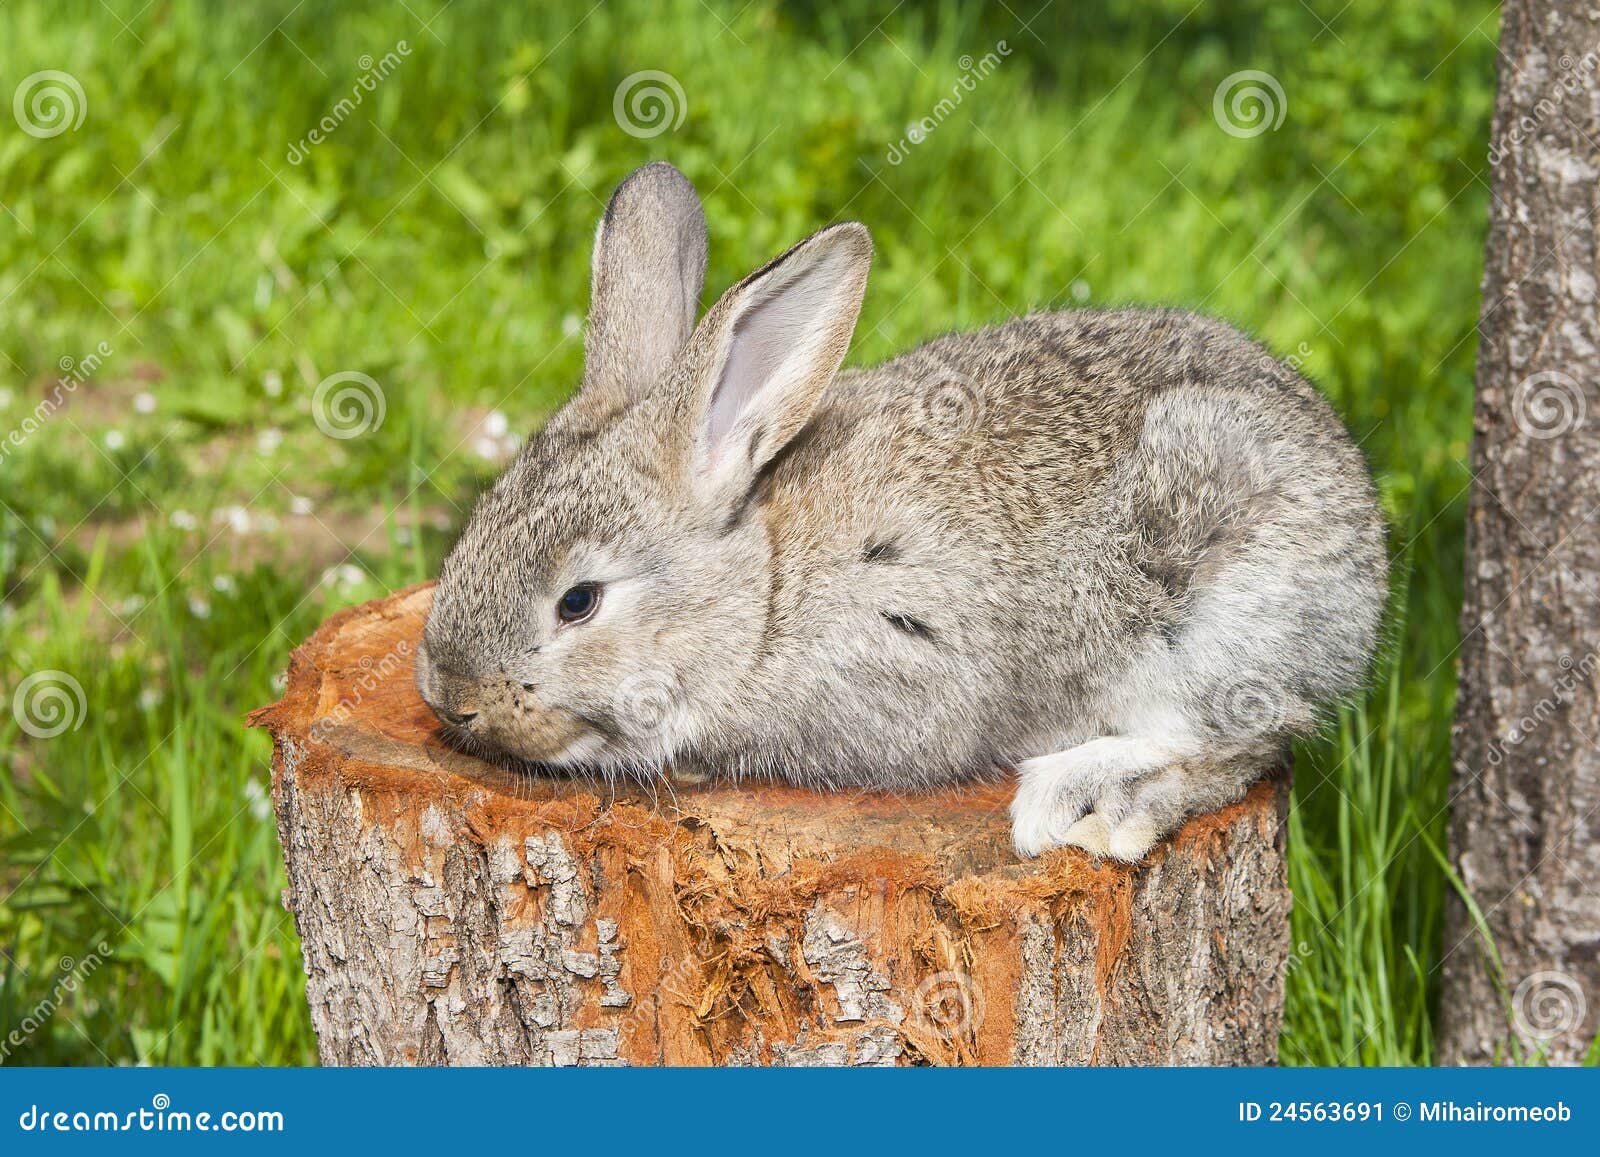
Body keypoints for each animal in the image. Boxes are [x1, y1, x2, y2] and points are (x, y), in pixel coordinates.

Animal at [415, 160, 1388, 862]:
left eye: (579, 601)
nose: (448, 699)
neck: (767, 585)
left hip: (1219, 608)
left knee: (1245, 738)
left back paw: (1085, 806)